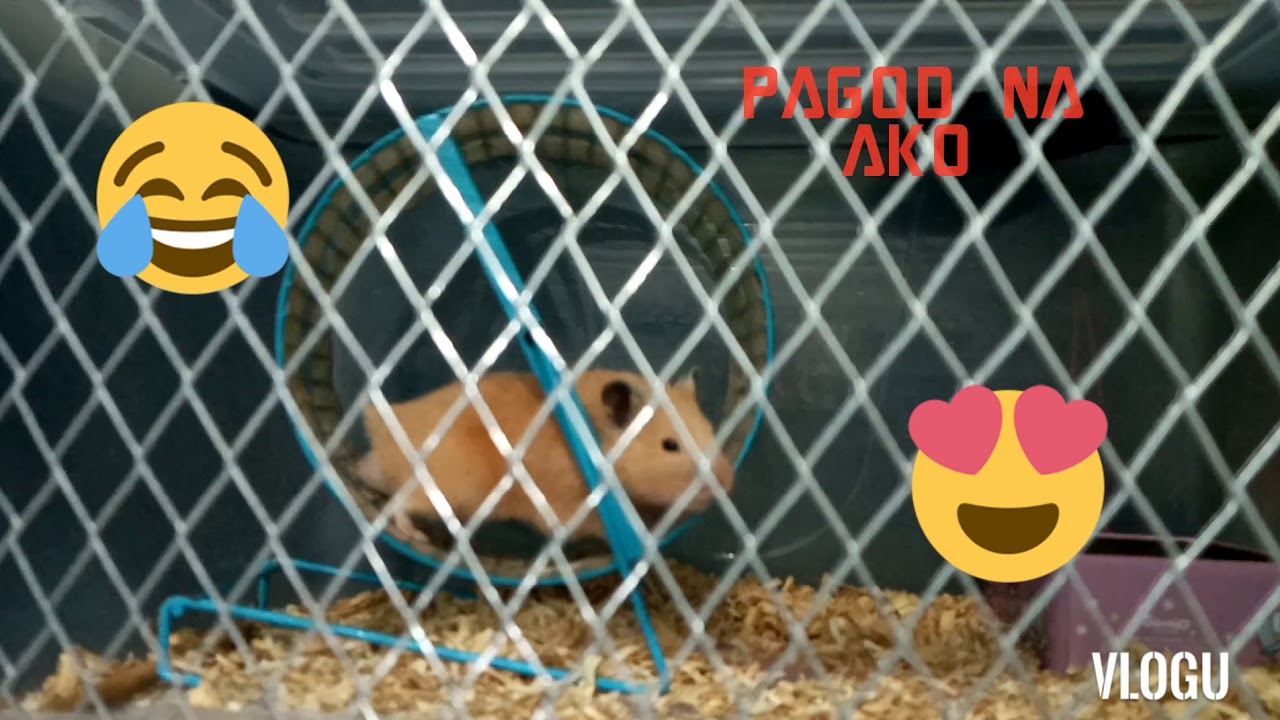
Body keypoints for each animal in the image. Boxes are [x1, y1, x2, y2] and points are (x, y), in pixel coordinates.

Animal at [353, 369, 735, 546]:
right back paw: (415, 537)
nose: (726, 484)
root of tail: (380, 426)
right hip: (450, 488)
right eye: (670, 446)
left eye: (711, 430)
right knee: (400, 503)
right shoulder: (576, 511)